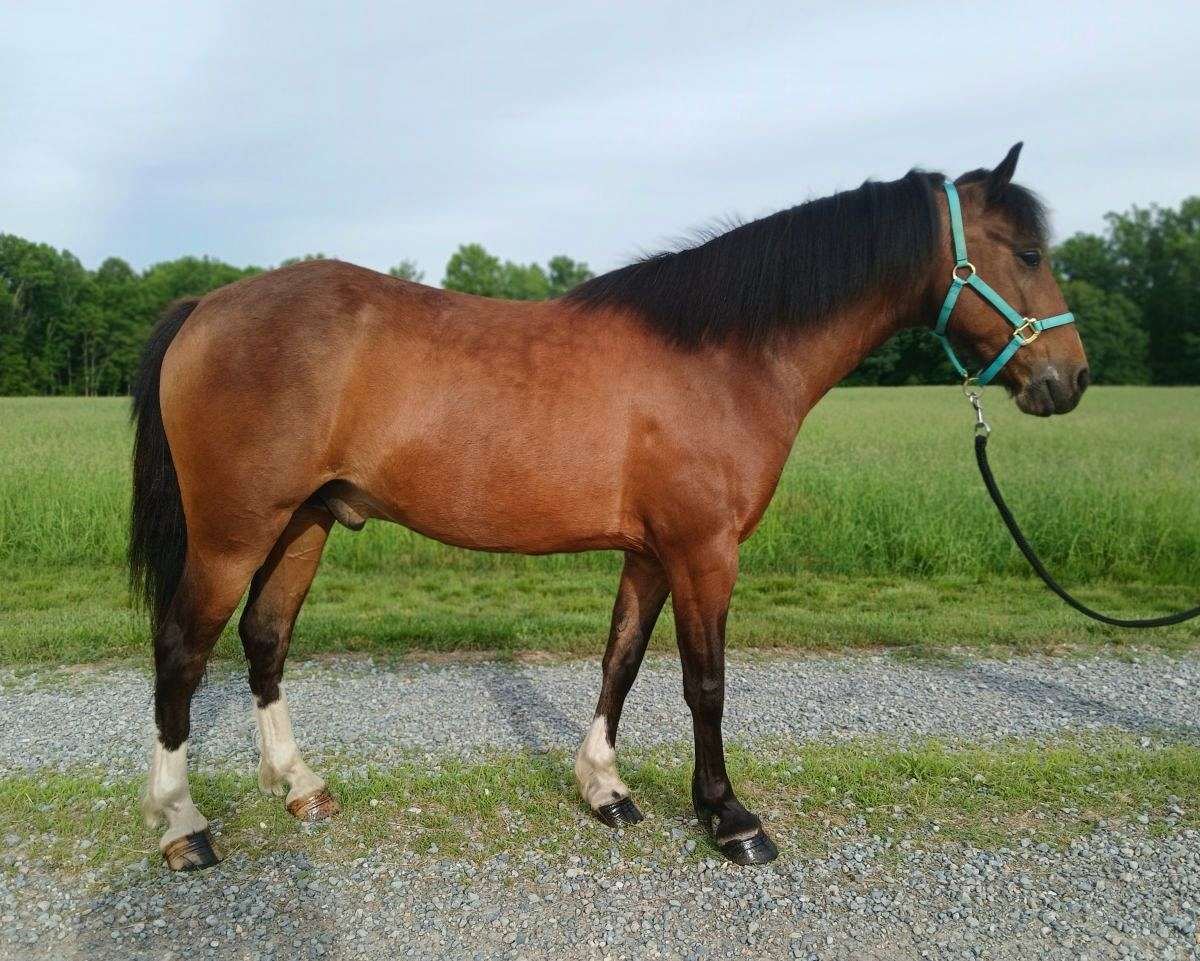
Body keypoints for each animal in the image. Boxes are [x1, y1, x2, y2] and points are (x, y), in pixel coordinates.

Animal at [131, 143, 1089, 871]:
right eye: (1027, 253)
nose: (1071, 378)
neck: (722, 354)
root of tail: (206, 304)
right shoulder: (704, 550)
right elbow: (706, 682)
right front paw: (730, 817)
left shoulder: (651, 552)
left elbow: (619, 662)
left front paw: (606, 788)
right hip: (231, 534)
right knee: (182, 652)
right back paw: (183, 825)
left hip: (307, 520)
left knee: (265, 637)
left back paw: (300, 788)